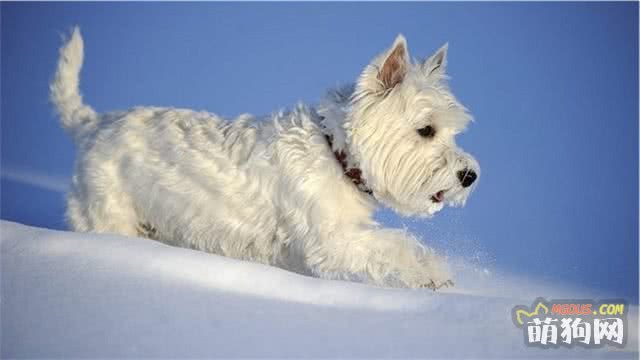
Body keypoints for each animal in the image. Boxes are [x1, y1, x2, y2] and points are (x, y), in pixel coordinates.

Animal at [52, 26, 478, 288]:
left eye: (453, 132)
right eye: (426, 130)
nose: (469, 175)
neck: (336, 154)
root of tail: (92, 124)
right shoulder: (331, 240)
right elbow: (394, 244)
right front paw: (433, 273)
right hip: (108, 213)